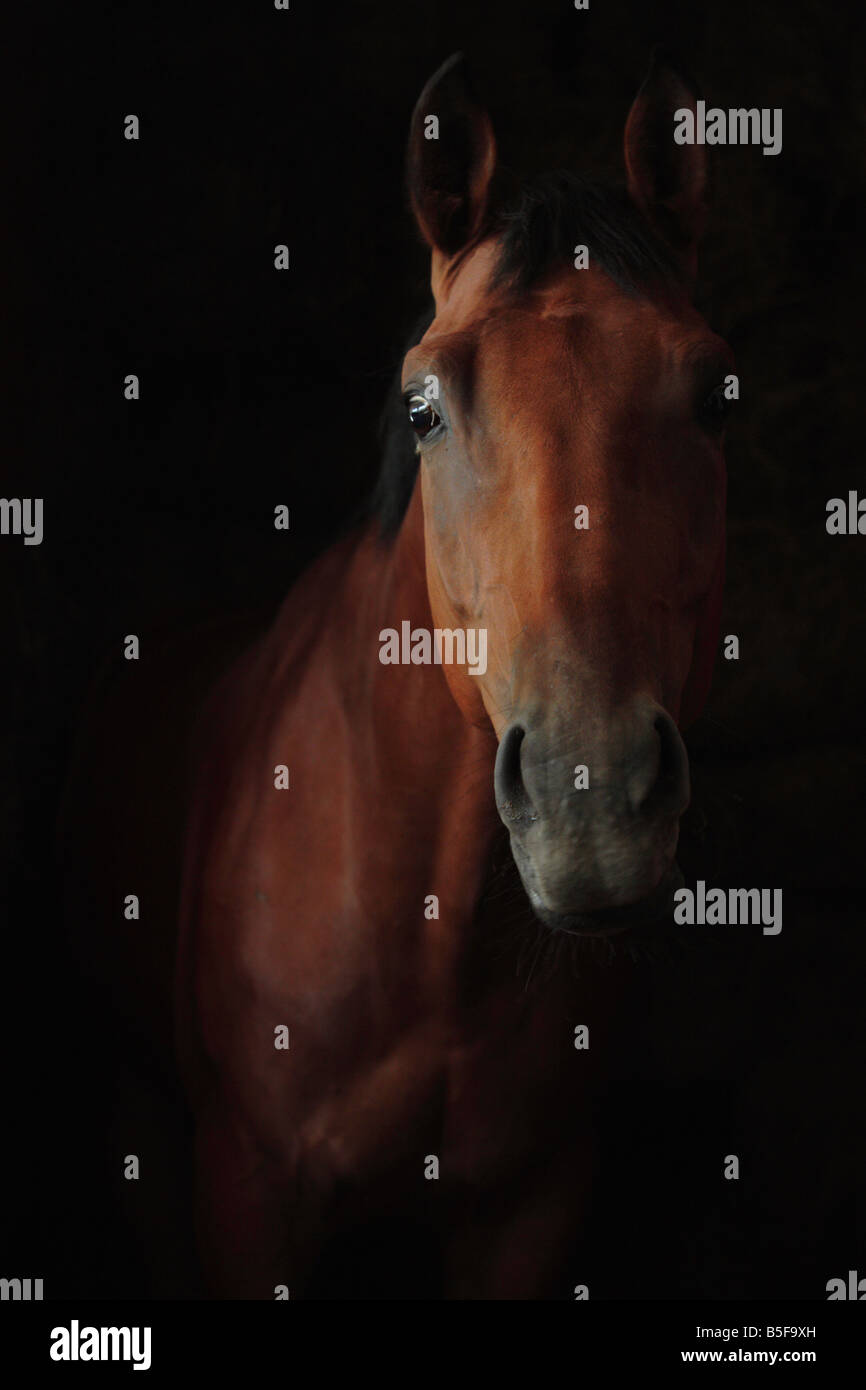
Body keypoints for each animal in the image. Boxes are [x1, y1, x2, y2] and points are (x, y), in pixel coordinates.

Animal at [174, 48, 734, 1299]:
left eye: (711, 393)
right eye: (423, 406)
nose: (590, 797)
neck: (434, 956)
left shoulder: (530, 1204)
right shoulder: (243, 1195)